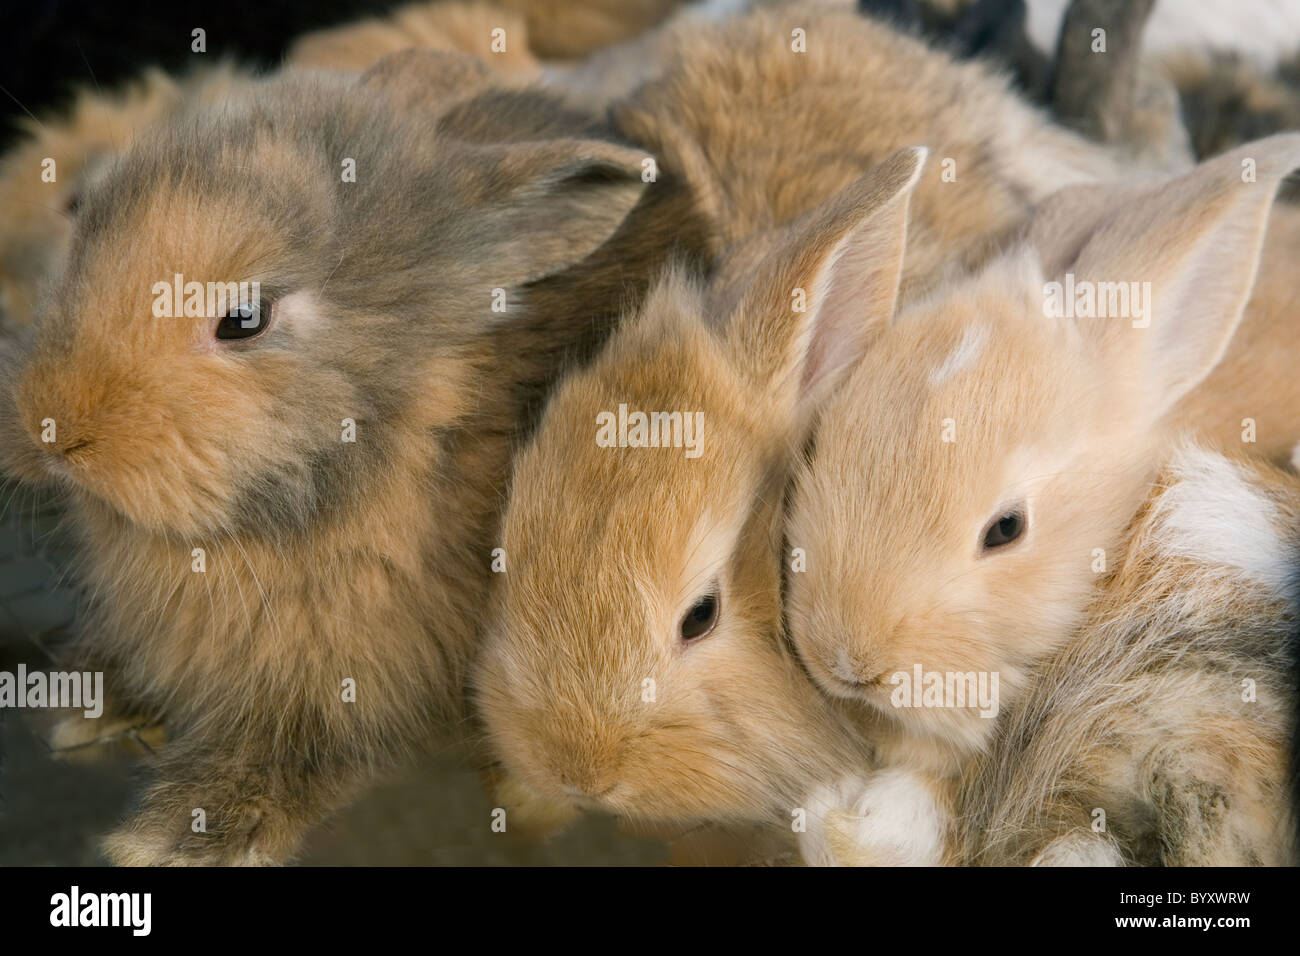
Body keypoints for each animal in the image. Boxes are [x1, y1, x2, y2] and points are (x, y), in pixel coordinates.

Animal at [0, 48, 702, 865]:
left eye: (245, 318)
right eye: (83, 218)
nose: (52, 427)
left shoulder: (349, 686)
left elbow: (293, 749)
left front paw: (176, 838)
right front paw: (85, 708)